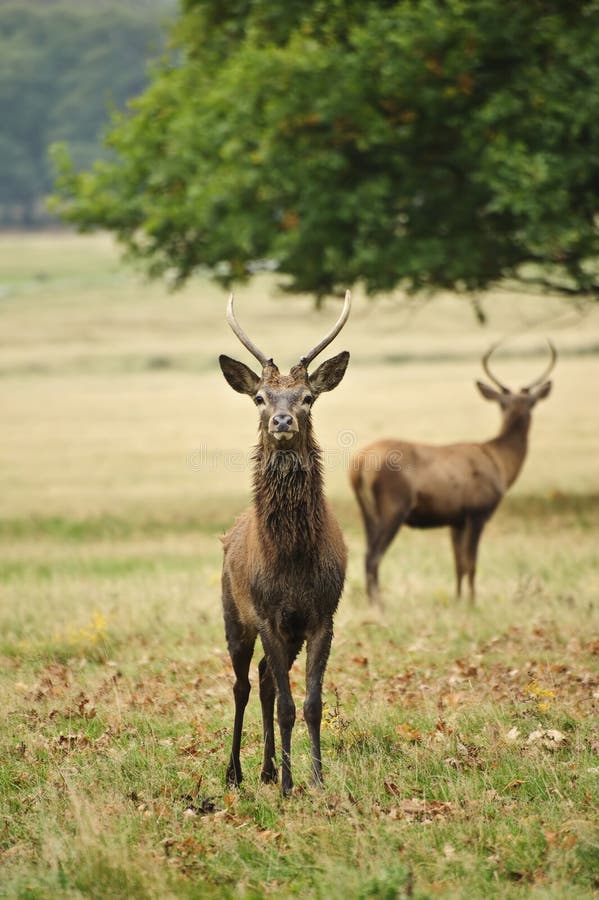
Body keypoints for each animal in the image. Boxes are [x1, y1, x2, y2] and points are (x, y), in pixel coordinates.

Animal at [218, 290, 351, 796]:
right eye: (260, 396)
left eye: (308, 397)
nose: (281, 419)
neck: (292, 557)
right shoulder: (268, 615)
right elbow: (288, 707)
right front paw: (291, 787)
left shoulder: (321, 616)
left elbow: (310, 704)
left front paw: (315, 779)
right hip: (234, 614)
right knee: (242, 684)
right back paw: (236, 772)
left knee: (264, 679)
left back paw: (267, 767)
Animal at [350, 341, 557, 606]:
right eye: (504, 403)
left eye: (528, 402)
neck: (500, 461)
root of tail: (358, 464)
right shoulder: (477, 511)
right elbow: (471, 563)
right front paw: (472, 602)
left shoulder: (455, 519)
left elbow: (458, 563)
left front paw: (458, 599)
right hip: (394, 505)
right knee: (373, 555)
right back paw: (379, 604)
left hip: (366, 511)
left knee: (367, 552)